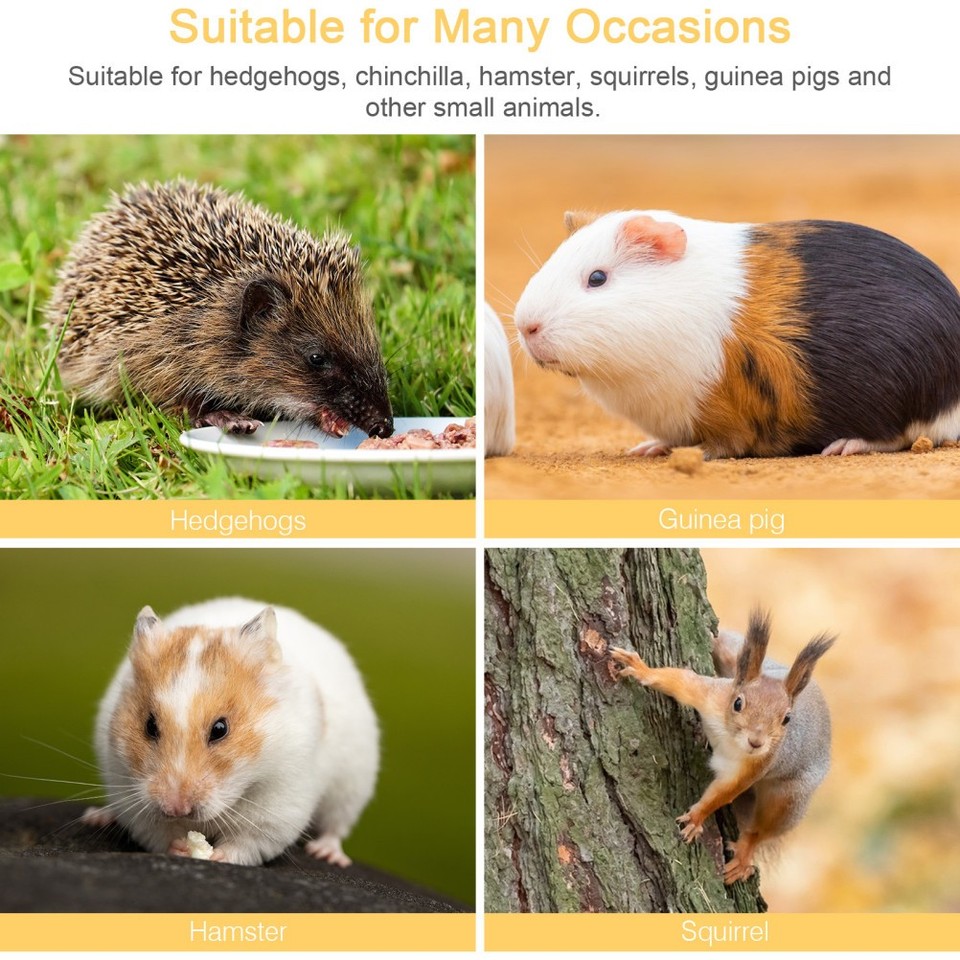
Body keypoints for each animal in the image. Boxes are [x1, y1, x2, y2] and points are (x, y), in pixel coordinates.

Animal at [81, 598, 379, 867]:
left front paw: (216, 856)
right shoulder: (129, 792)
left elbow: (247, 842)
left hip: (352, 785)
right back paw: (97, 816)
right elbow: (158, 833)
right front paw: (181, 847)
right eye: (149, 726)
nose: (176, 809)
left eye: (220, 729)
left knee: (336, 826)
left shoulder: (279, 805)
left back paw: (328, 854)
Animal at [514, 210, 960, 458]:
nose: (526, 326)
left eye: (597, 278)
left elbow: (725, 445)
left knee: (900, 437)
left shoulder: (726, 415)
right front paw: (647, 450)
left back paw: (843, 447)